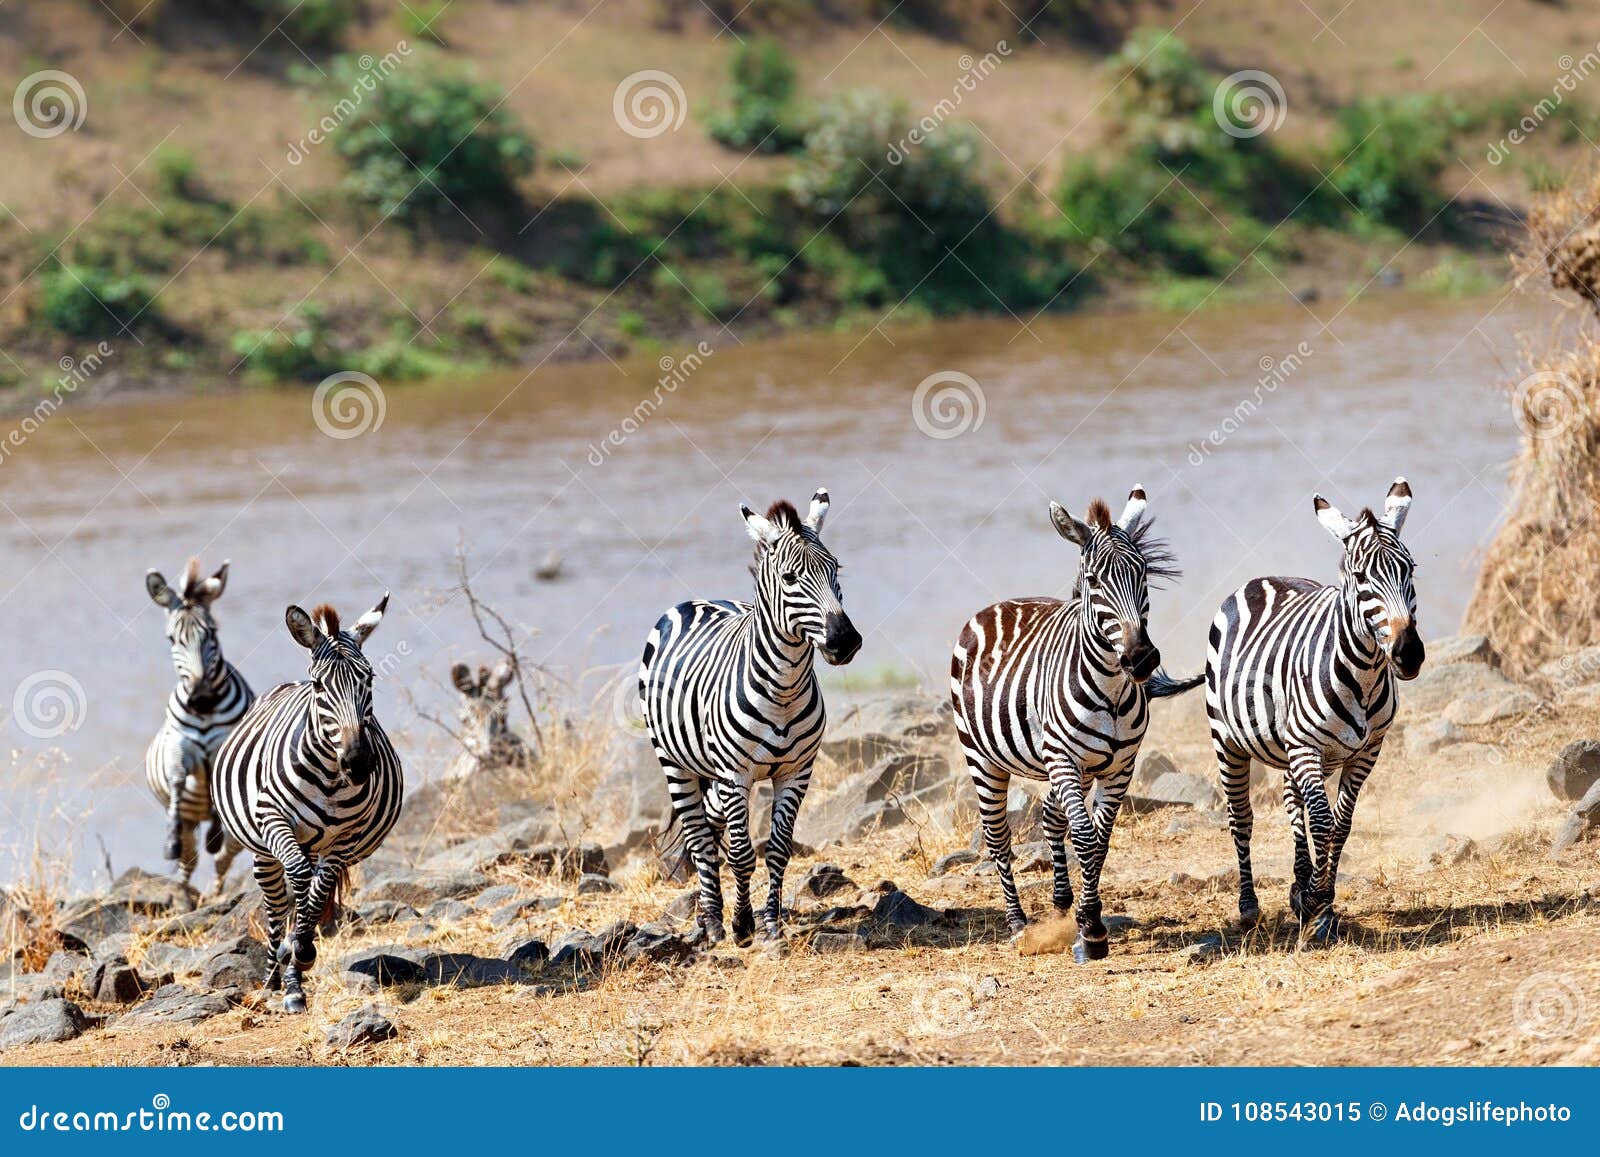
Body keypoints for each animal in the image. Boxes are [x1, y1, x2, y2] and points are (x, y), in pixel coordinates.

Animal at [143, 558, 254, 894]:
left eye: (212, 634)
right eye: (172, 639)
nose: (201, 697)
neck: (206, 714)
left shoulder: (224, 746)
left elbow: (219, 778)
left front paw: (215, 832)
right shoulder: (180, 747)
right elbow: (178, 780)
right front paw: (169, 841)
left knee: (222, 859)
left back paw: (215, 890)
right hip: (190, 823)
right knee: (189, 860)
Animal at [213, 595, 404, 1013]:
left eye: (369, 678)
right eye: (320, 686)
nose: (358, 762)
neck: (330, 779)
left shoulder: (345, 838)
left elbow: (317, 893)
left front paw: (303, 951)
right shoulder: (274, 818)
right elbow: (298, 881)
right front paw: (293, 953)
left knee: (307, 895)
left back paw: (293, 977)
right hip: (264, 852)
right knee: (276, 905)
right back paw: (275, 979)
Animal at [641, 490, 861, 947]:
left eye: (836, 569)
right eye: (790, 578)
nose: (845, 641)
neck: (783, 690)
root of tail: (696, 600)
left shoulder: (797, 772)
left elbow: (778, 849)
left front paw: (772, 926)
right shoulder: (734, 774)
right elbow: (741, 854)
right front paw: (743, 925)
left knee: (709, 825)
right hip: (675, 763)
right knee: (699, 837)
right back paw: (712, 922)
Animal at [950, 486, 1202, 961]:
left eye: (1143, 572)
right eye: (1094, 581)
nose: (1141, 658)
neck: (1112, 692)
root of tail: (997, 605)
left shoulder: (1120, 766)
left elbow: (1099, 839)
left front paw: (1086, 919)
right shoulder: (1063, 758)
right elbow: (1085, 836)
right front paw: (1093, 931)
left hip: (1075, 767)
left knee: (1050, 816)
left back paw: (1061, 903)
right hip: (985, 759)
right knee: (998, 836)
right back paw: (1019, 925)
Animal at [1206, 478, 1424, 940]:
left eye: (1410, 569)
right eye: (1360, 577)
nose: (1409, 654)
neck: (1364, 675)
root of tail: (1262, 578)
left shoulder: (1366, 751)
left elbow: (1340, 824)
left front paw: (1316, 899)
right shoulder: (1307, 748)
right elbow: (1322, 822)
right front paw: (1318, 900)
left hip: (1296, 750)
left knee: (1294, 805)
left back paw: (1299, 882)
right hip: (1228, 741)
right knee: (1241, 817)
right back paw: (1249, 906)